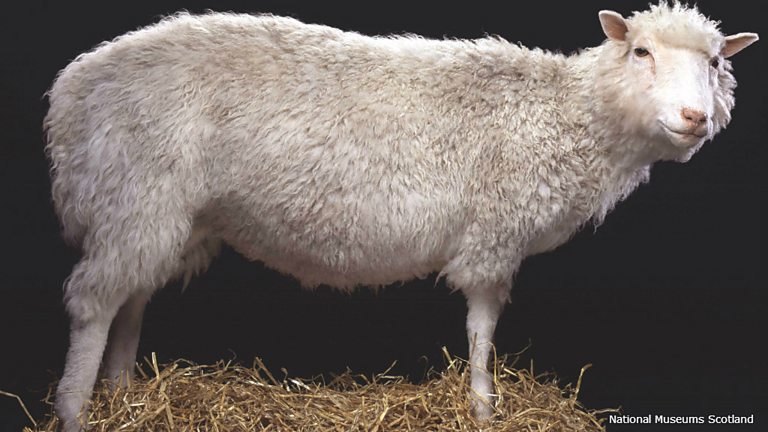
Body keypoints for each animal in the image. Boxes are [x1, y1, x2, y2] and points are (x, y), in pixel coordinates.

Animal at [44, 2, 757, 430]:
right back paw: (78, 410)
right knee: (93, 303)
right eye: (641, 52)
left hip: (159, 213)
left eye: (715, 63)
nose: (694, 117)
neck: (563, 116)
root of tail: (72, 93)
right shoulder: (493, 235)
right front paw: (482, 409)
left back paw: (124, 396)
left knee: (132, 297)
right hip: (135, 190)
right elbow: (480, 332)